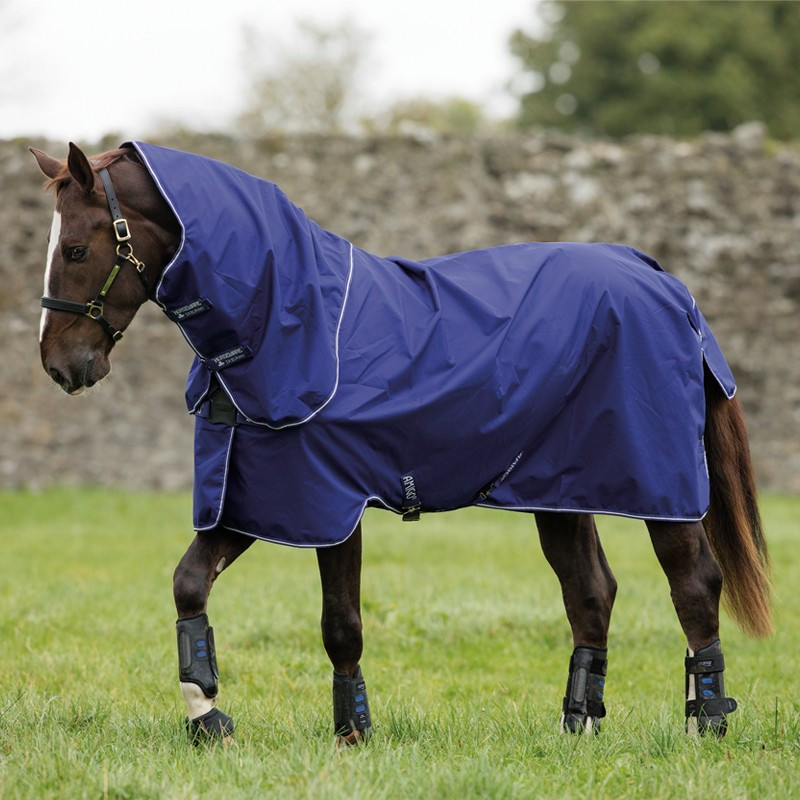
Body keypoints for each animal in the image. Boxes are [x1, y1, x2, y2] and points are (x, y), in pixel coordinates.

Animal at [30, 141, 771, 744]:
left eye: (76, 250)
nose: (61, 367)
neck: (288, 326)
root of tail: (665, 281)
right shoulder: (254, 497)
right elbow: (189, 586)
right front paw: (207, 717)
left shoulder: (327, 502)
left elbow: (340, 623)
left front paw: (352, 734)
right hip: (560, 488)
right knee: (591, 593)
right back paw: (577, 728)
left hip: (658, 483)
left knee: (694, 584)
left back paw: (705, 724)